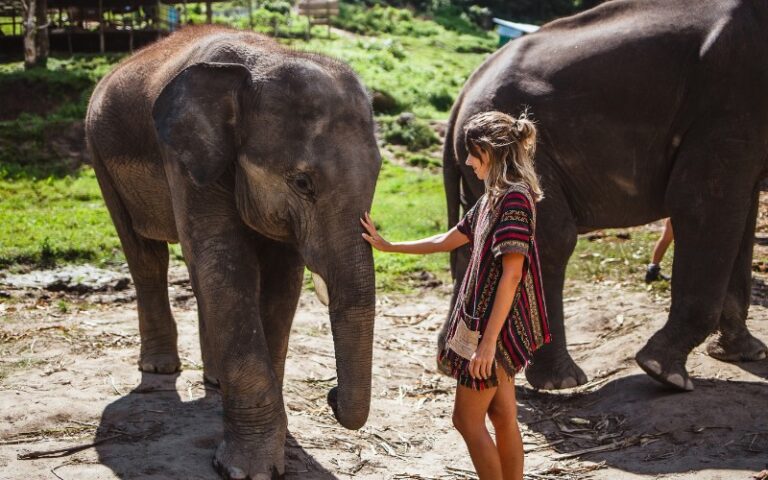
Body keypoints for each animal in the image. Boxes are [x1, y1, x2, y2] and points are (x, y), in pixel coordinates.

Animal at [85, 26, 381, 479]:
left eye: (379, 175)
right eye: (302, 183)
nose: (330, 395)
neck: (265, 59)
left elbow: (280, 282)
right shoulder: (185, 159)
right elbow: (226, 262)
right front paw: (248, 469)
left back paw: (215, 380)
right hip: (100, 154)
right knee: (147, 258)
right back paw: (159, 367)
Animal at [442, 0, 768, 392]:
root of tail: (462, 95)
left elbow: (742, 211)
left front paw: (745, 353)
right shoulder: (730, 93)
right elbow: (702, 204)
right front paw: (665, 373)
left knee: (475, 244)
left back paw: (455, 365)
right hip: (527, 154)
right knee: (552, 239)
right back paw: (562, 381)